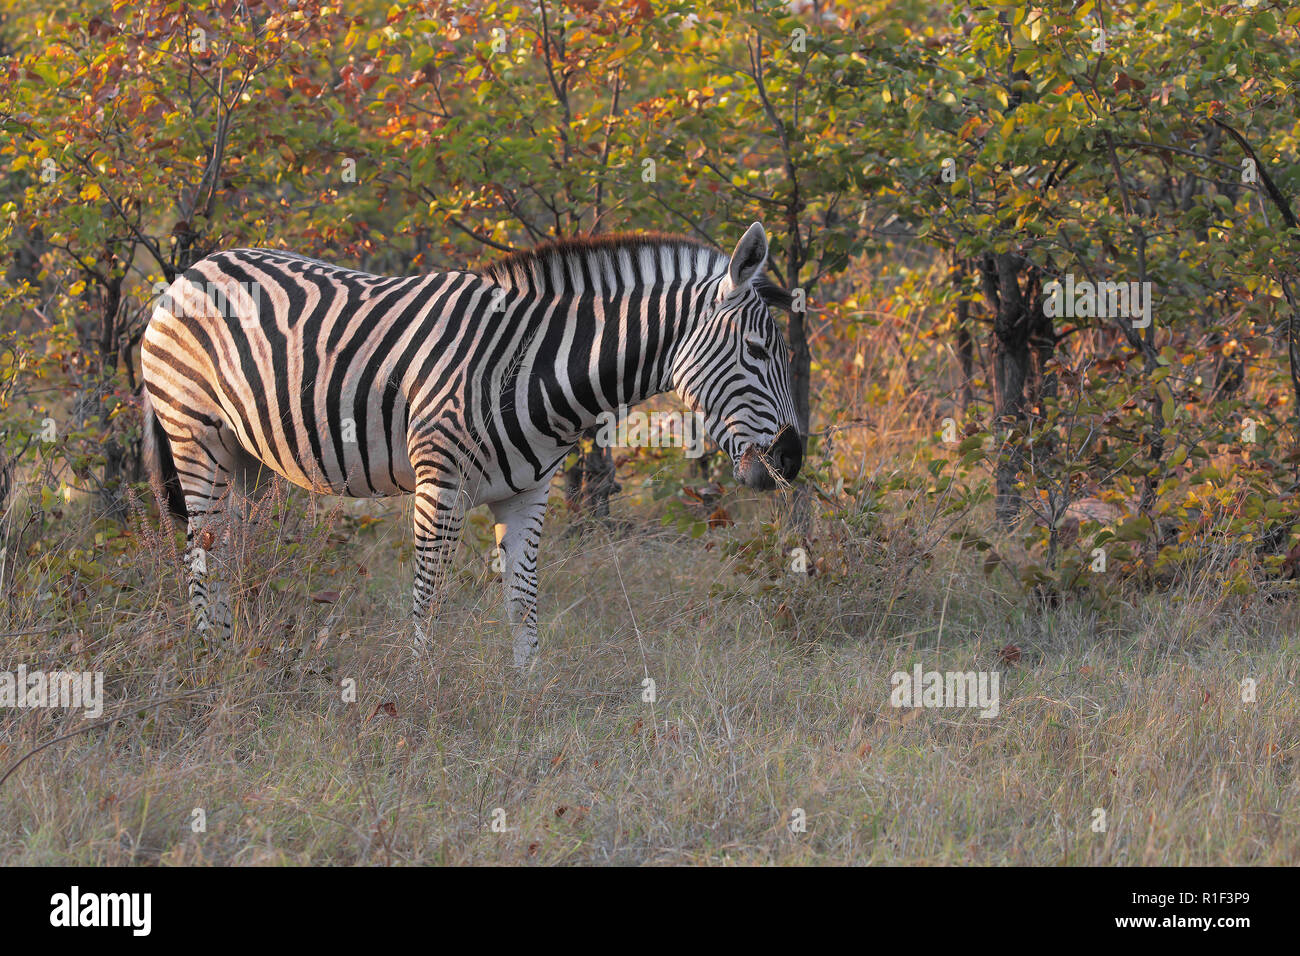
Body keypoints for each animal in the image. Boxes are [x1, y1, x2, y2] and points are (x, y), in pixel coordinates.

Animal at [141, 222, 803, 666]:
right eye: (758, 350)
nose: (793, 459)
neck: (534, 367)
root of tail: (194, 269)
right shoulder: (439, 481)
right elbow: (428, 594)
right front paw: (420, 687)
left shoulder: (529, 493)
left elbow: (522, 597)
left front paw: (530, 690)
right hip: (195, 437)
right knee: (203, 555)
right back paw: (214, 661)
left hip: (248, 460)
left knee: (234, 552)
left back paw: (243, 648)